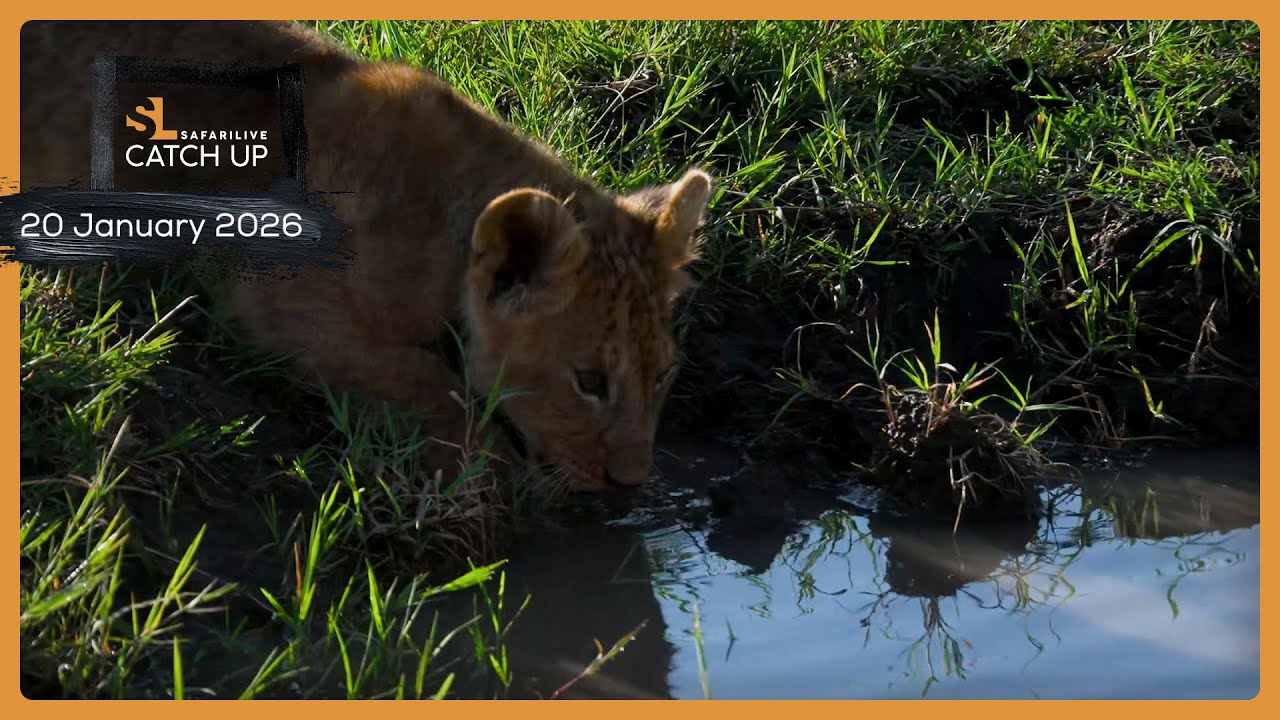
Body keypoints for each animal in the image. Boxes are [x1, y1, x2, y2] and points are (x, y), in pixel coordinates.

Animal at [19, 20, 712, 491]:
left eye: (663, 376)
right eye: (588, 381)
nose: (631, 484)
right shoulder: (278, 302)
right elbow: (429, 380)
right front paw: (492, 474)